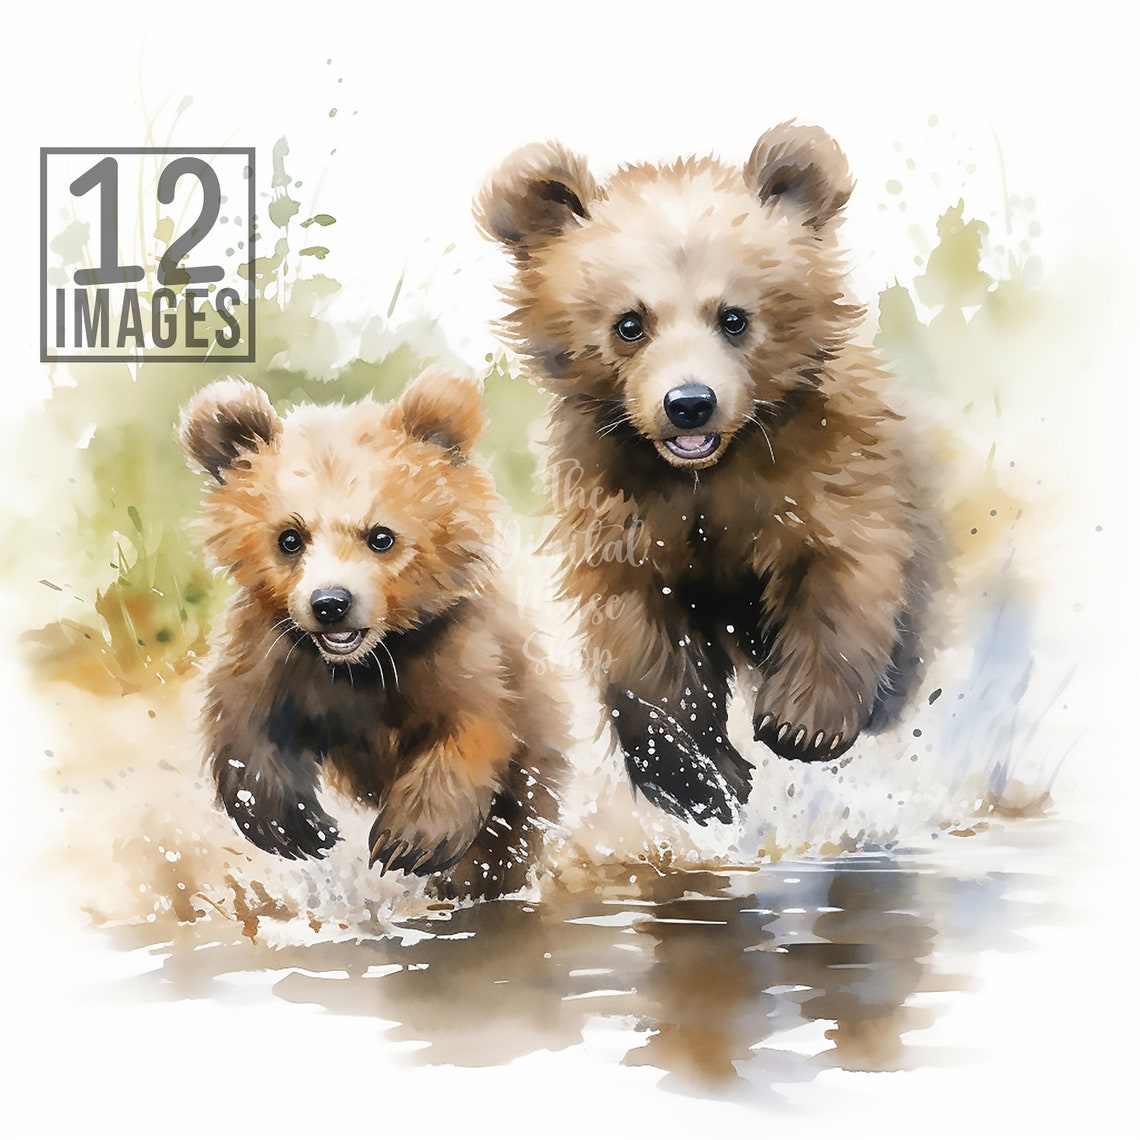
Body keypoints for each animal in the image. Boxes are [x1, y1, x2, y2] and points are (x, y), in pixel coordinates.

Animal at [178, 367, 568, 899]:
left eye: (381, 536)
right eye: (289, 538)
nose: (330, 603)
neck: (363, 662)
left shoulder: (459, 651)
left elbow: (473, 725)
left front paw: (407, 840)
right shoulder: (279, 653)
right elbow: (245, 725)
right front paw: (299, 827)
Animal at [475, 121, 939, 826]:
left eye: (734, 316)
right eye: (629, 323)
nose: (689, 403)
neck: (709, 472)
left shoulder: (825, 469)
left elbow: (842, 573)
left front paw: (801, 724)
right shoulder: (623, 508)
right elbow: (642, 641)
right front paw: (703, 779)